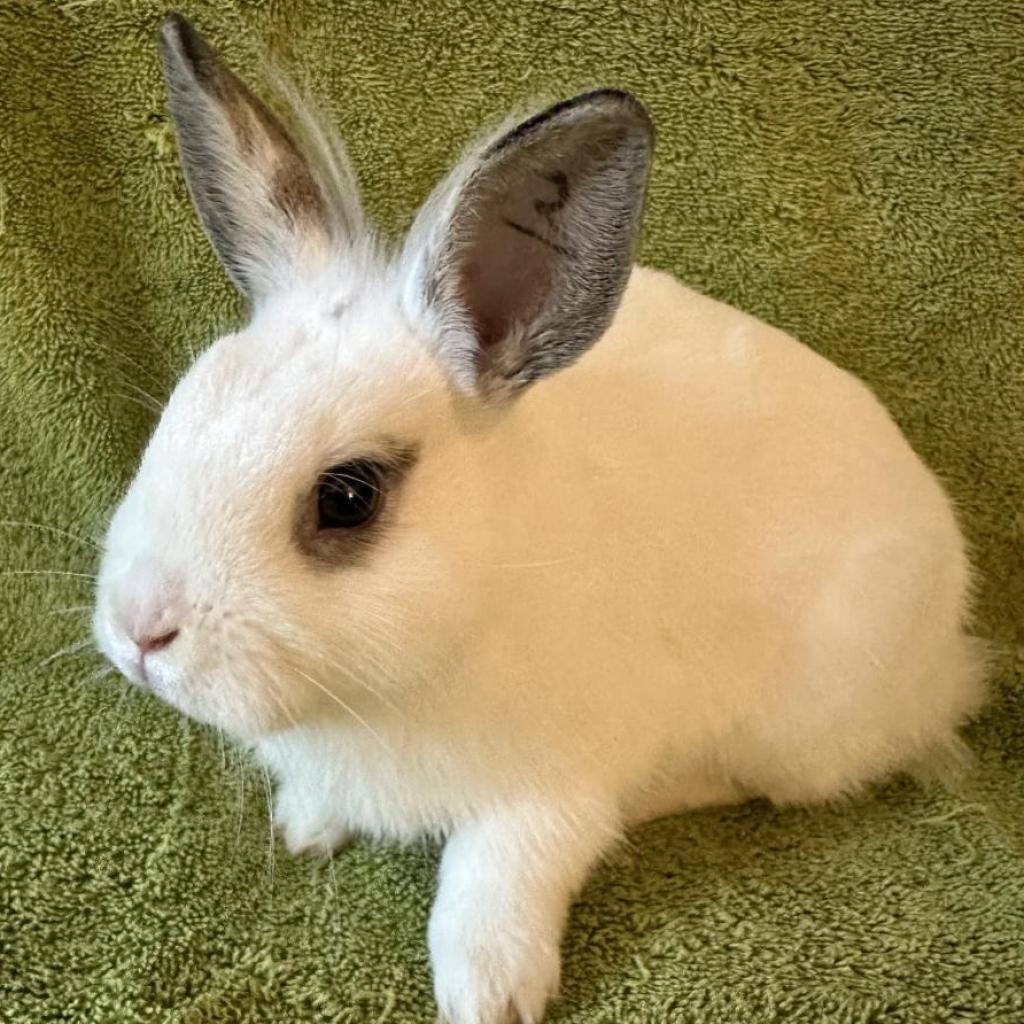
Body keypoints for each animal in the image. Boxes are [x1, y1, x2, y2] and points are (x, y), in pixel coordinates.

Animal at [91, 13, 986, 1024]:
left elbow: (495, 886)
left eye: (348, 496)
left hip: (802, 732)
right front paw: (307, 830)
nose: (140, 633)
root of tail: (947, 656)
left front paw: (489, 996)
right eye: (177, 413)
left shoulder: (550, 794)